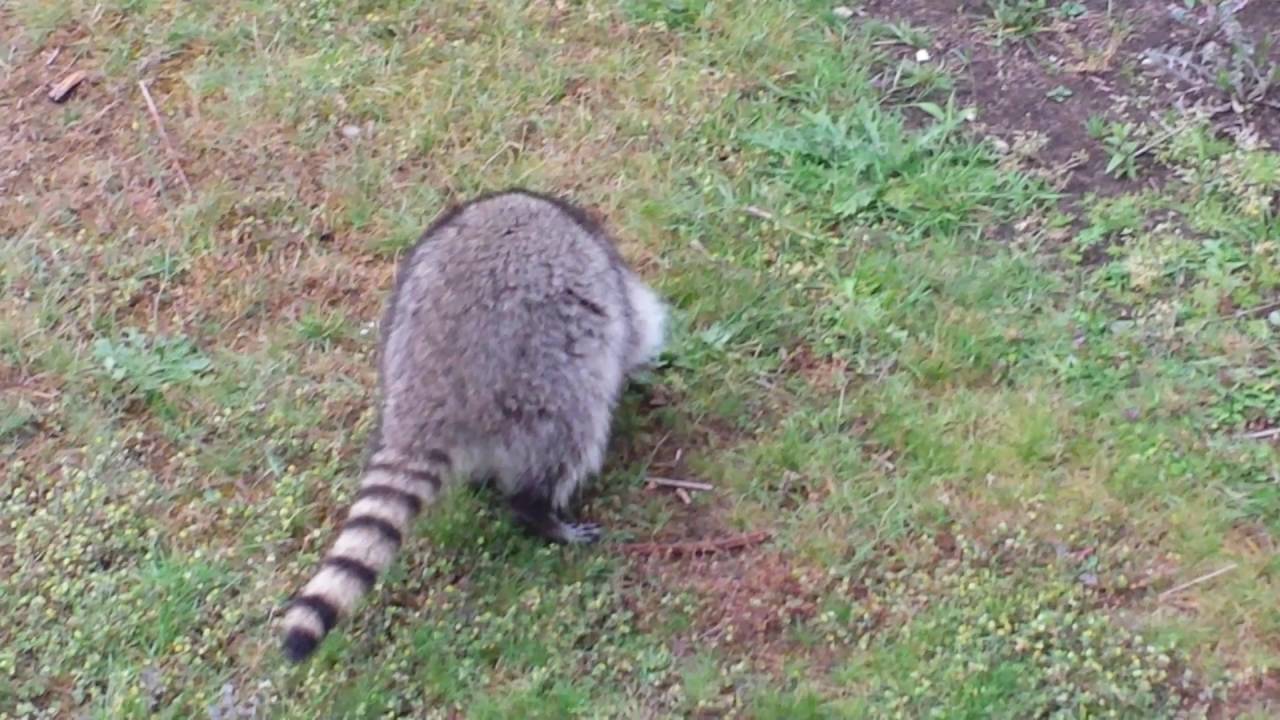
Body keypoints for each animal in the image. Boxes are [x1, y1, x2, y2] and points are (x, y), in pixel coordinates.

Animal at [279, 189, 666, 662]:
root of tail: (431, 387)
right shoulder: (610, 296)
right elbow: (638, 326)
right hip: (545, 376)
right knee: (568, 440)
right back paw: (540, 512)